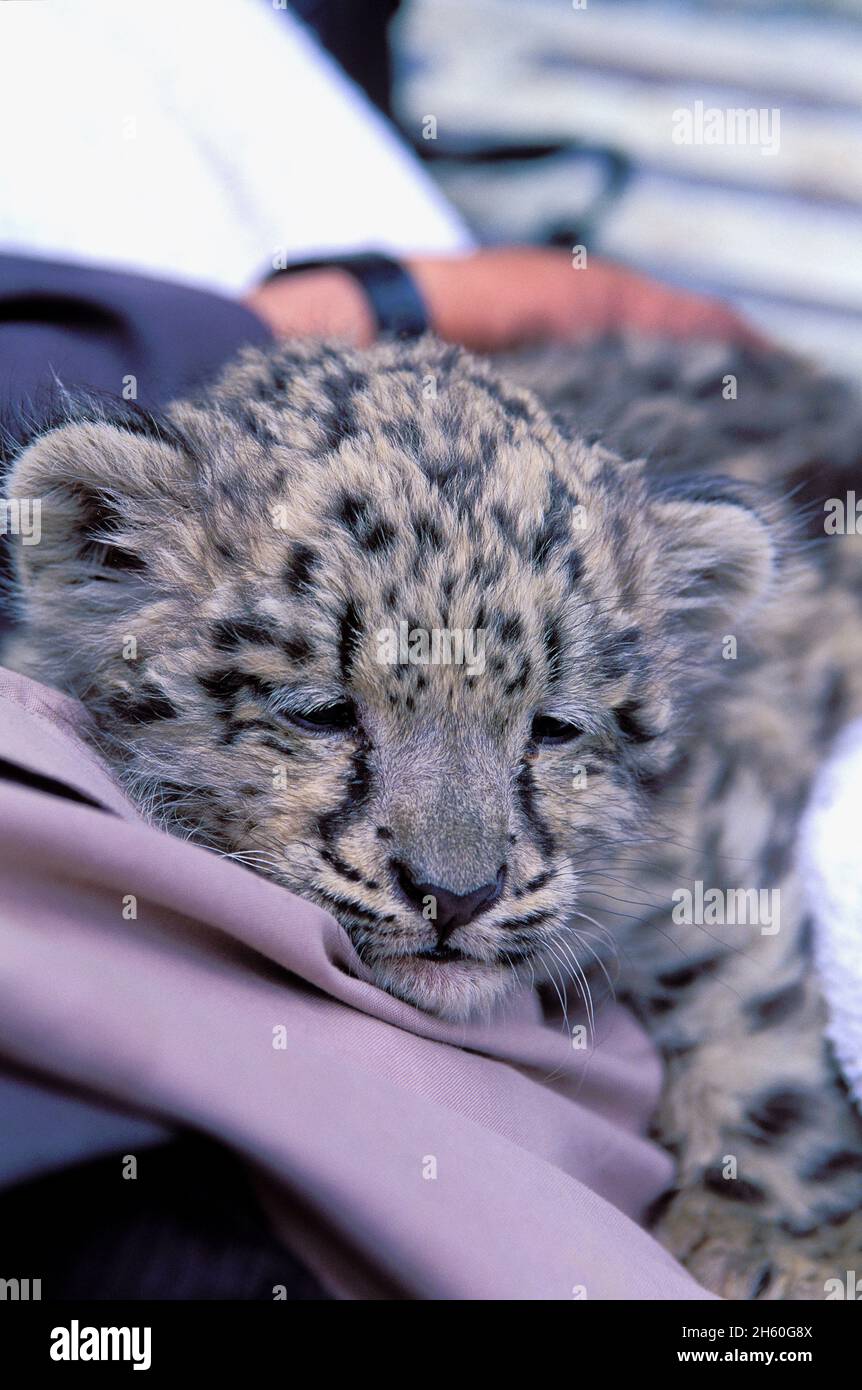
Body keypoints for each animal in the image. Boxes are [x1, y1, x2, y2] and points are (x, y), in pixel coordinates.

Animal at [5, 331, 862, 1300]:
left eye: (555, 726)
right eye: (323, 711)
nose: (455, 895)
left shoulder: (724, 832)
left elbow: (753, 1015)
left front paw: (770, 1241)